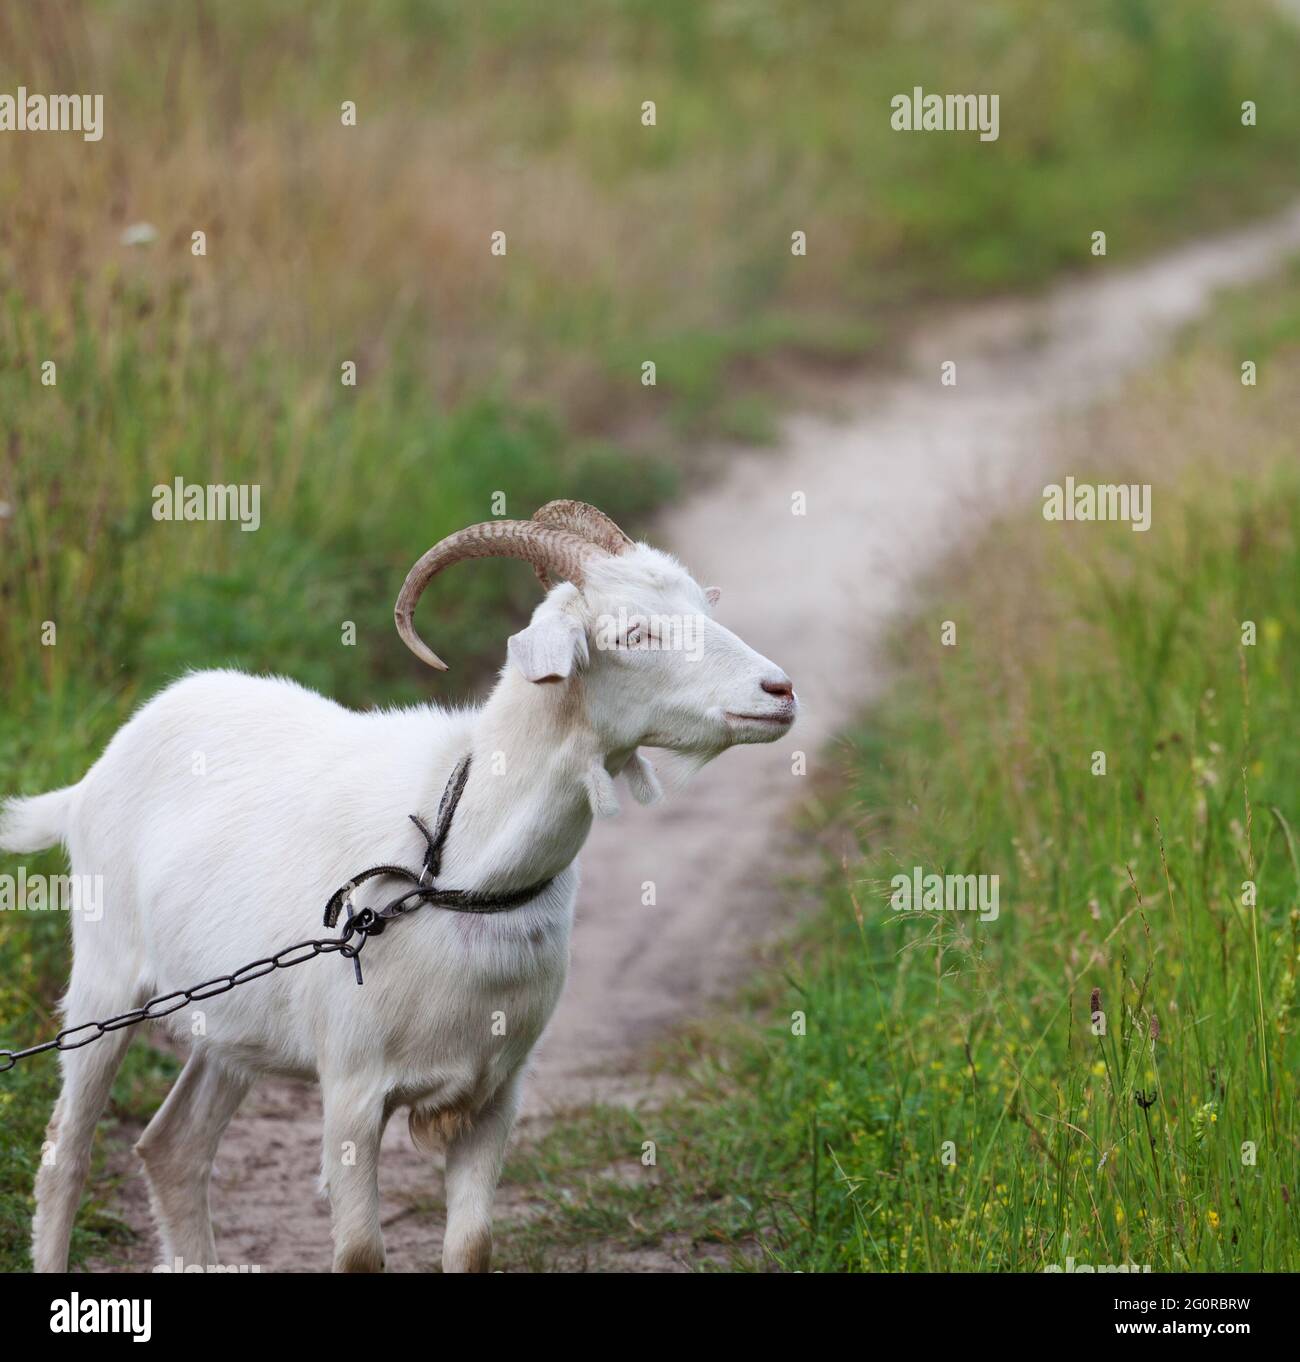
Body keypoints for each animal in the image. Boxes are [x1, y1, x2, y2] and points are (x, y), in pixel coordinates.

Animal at [1, 501, 797, 1273]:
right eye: (632, 631)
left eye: (698, 604)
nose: (781, 691)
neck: (451, 868)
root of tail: (91, 780)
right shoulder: (352, 1090)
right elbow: (359, 1253)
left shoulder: (497, 1093)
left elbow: (472, 1247)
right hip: (105, 981)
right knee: (65, 1157)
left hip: (231, 1020)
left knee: (174, 1148)